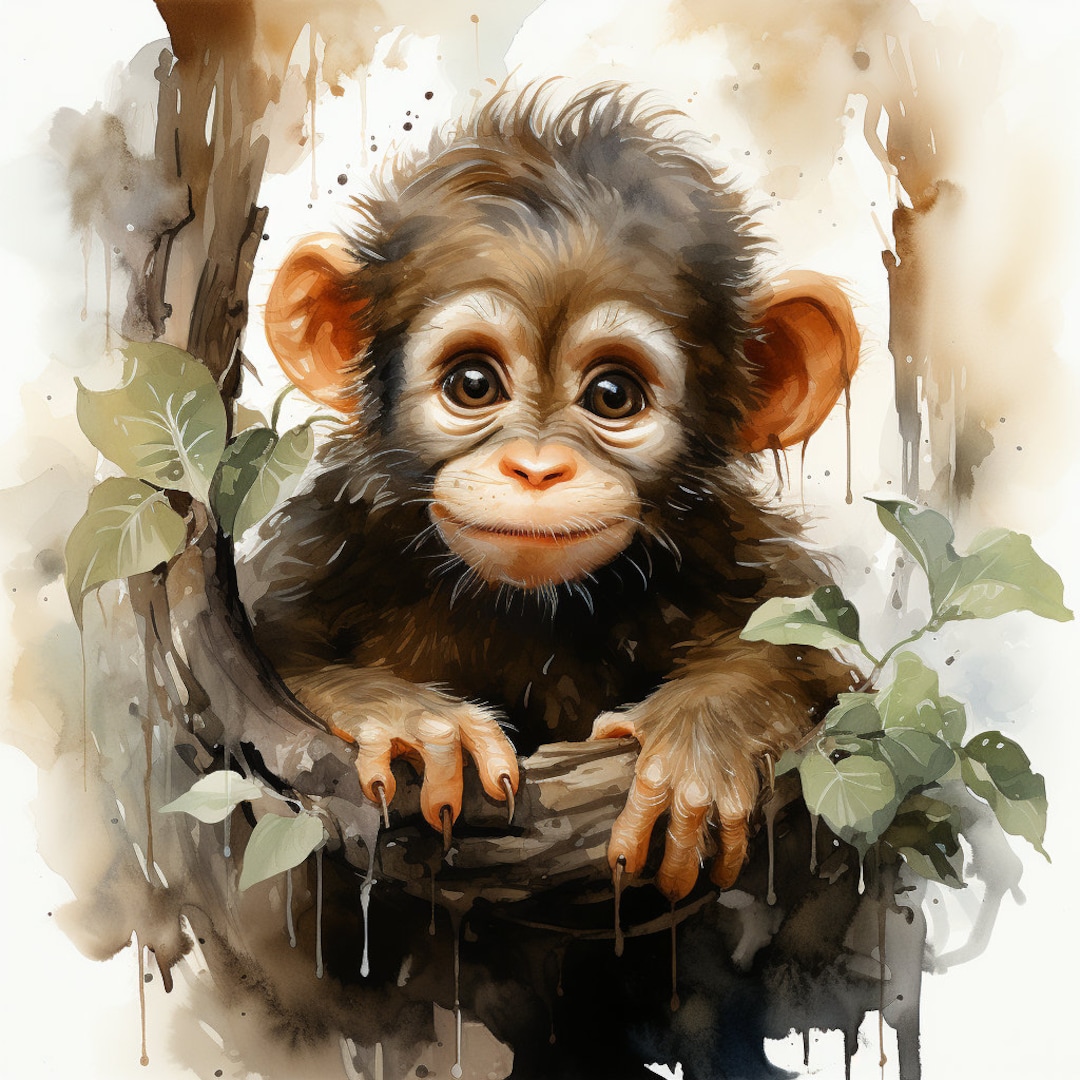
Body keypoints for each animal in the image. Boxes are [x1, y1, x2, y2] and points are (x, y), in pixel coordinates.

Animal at [244, 86, 859, 904]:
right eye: (473, 383)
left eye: (612, 395)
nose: (536, 471)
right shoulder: (328, 536)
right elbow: (276, 645)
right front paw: (405, 719)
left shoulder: (732, 546)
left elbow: (818, 664)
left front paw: (700, 739)